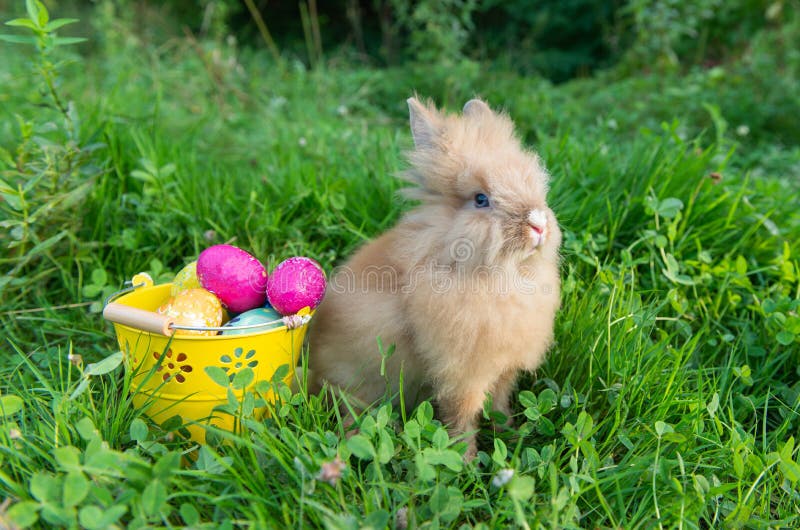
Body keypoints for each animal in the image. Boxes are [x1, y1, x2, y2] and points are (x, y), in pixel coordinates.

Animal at [308, 97, 562, 458]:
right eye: (480, 199)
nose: (539, 225)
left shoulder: (503, 370)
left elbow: (500, 405)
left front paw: (510, 435)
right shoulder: (462, 375)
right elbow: (462, 417)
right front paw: (466, 460)